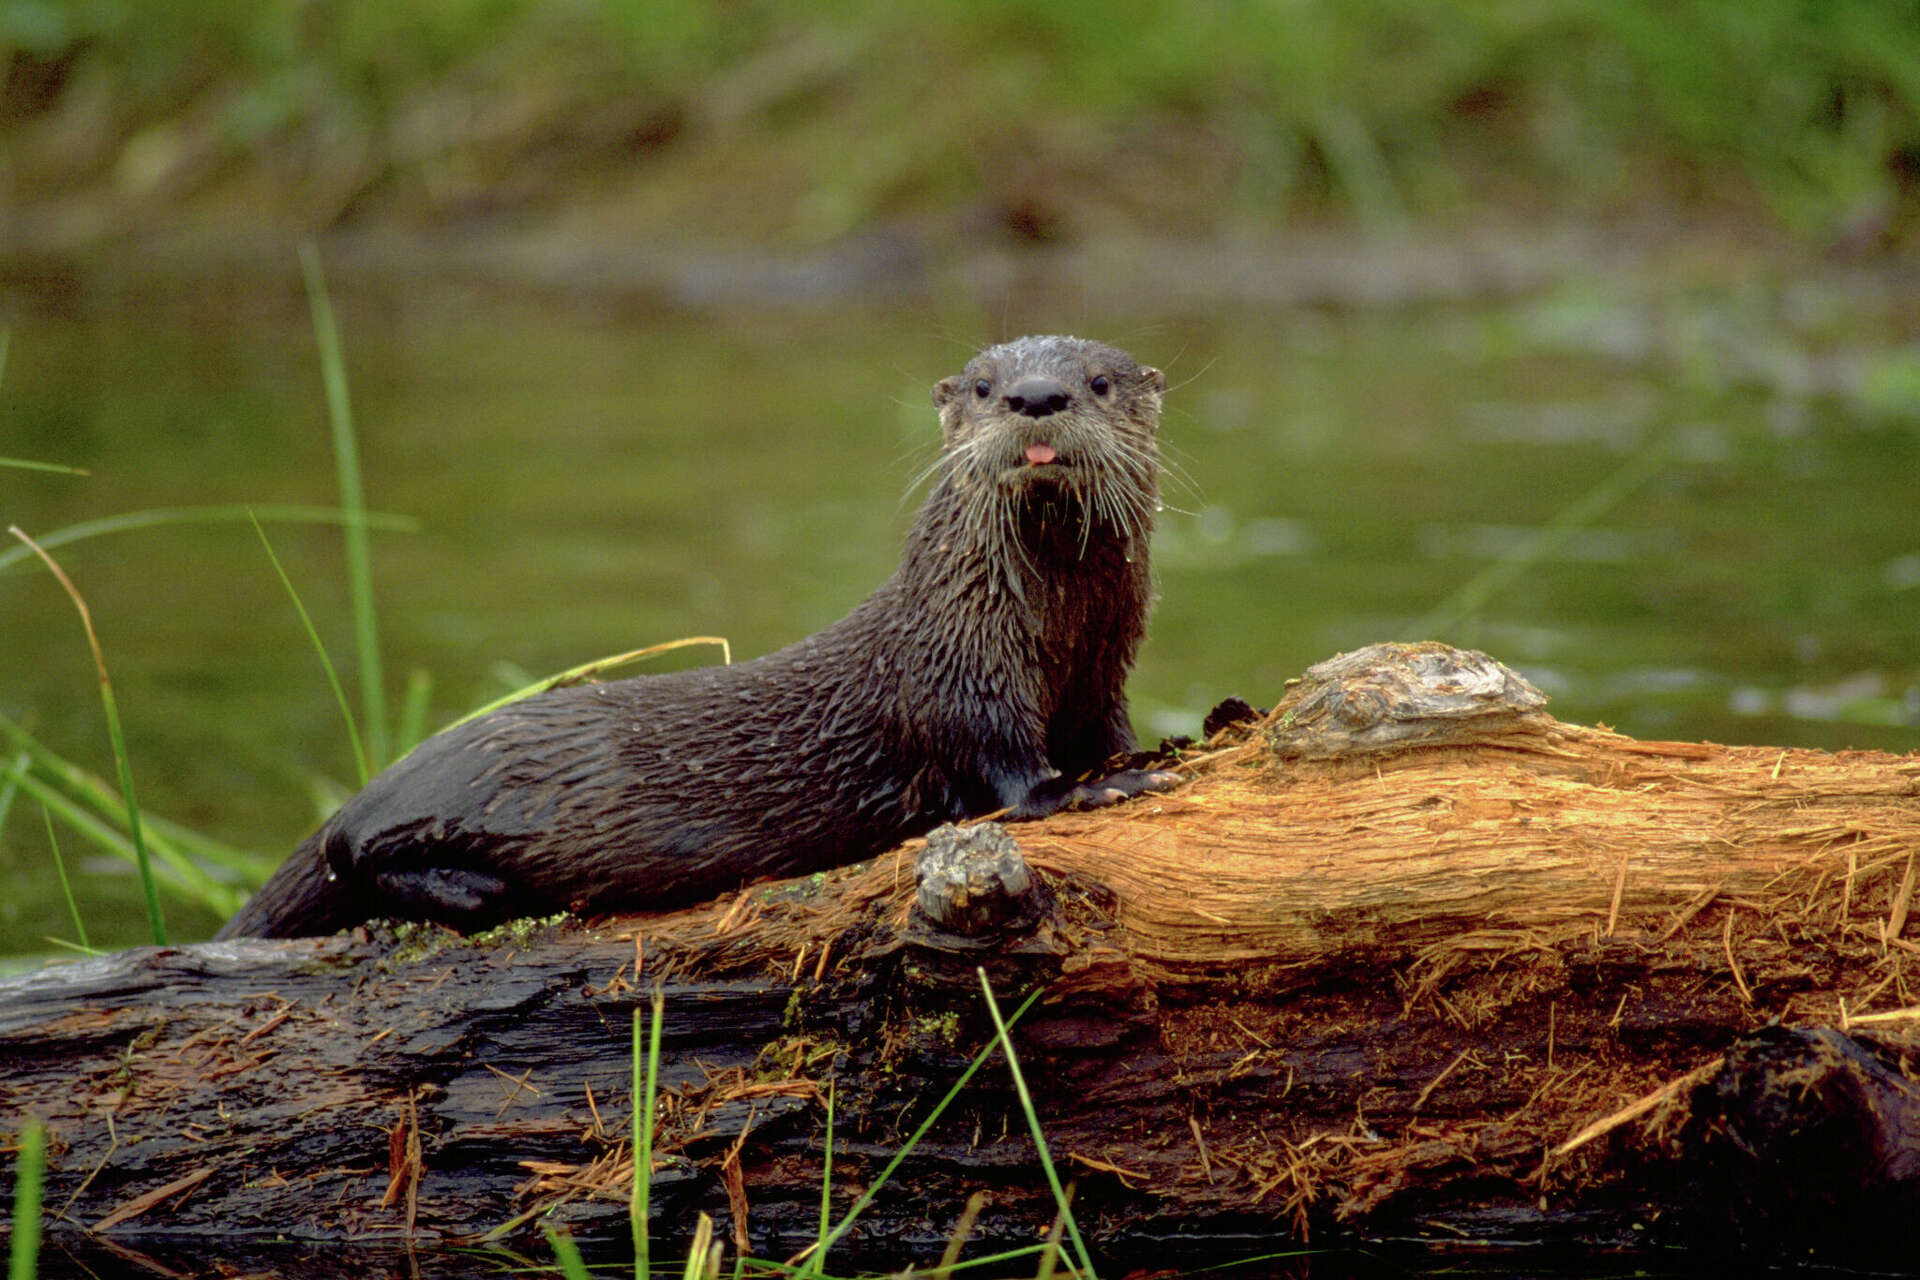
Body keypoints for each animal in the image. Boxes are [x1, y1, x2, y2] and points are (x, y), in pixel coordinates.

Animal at [217, 335, 1175, 939]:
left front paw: (1140, 757)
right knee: (350, 852)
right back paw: (468, 886)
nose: (1035, 397)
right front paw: (1089, 789)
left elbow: (1106, 725)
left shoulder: (1106, 664)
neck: (1049, 623)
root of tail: (373, 784)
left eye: (1099, 381)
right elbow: (1007, 769)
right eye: (982, 387)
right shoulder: (958, 670)